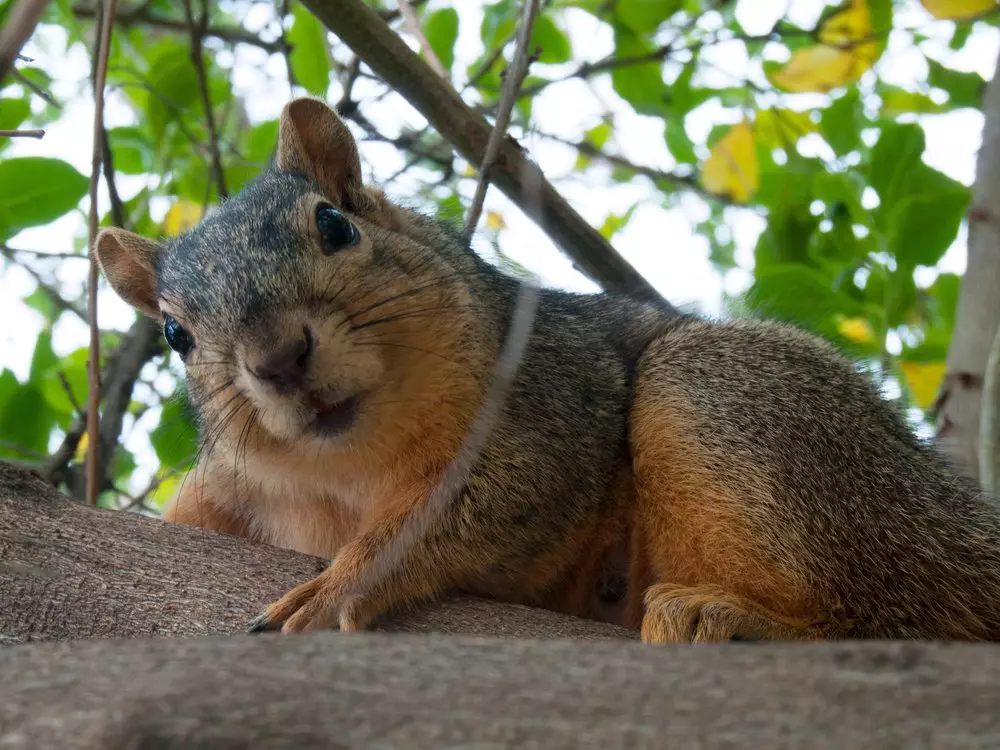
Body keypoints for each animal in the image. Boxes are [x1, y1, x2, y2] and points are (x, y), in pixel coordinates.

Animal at [95, 97, 1000, 644]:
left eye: (335, 225)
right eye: (174, 333)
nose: (279, 357)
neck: (347, 471)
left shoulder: (552, 399)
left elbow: (469, 508)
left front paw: (339, 584)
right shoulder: (220, 502)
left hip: (734, 403)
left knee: (891, 617)